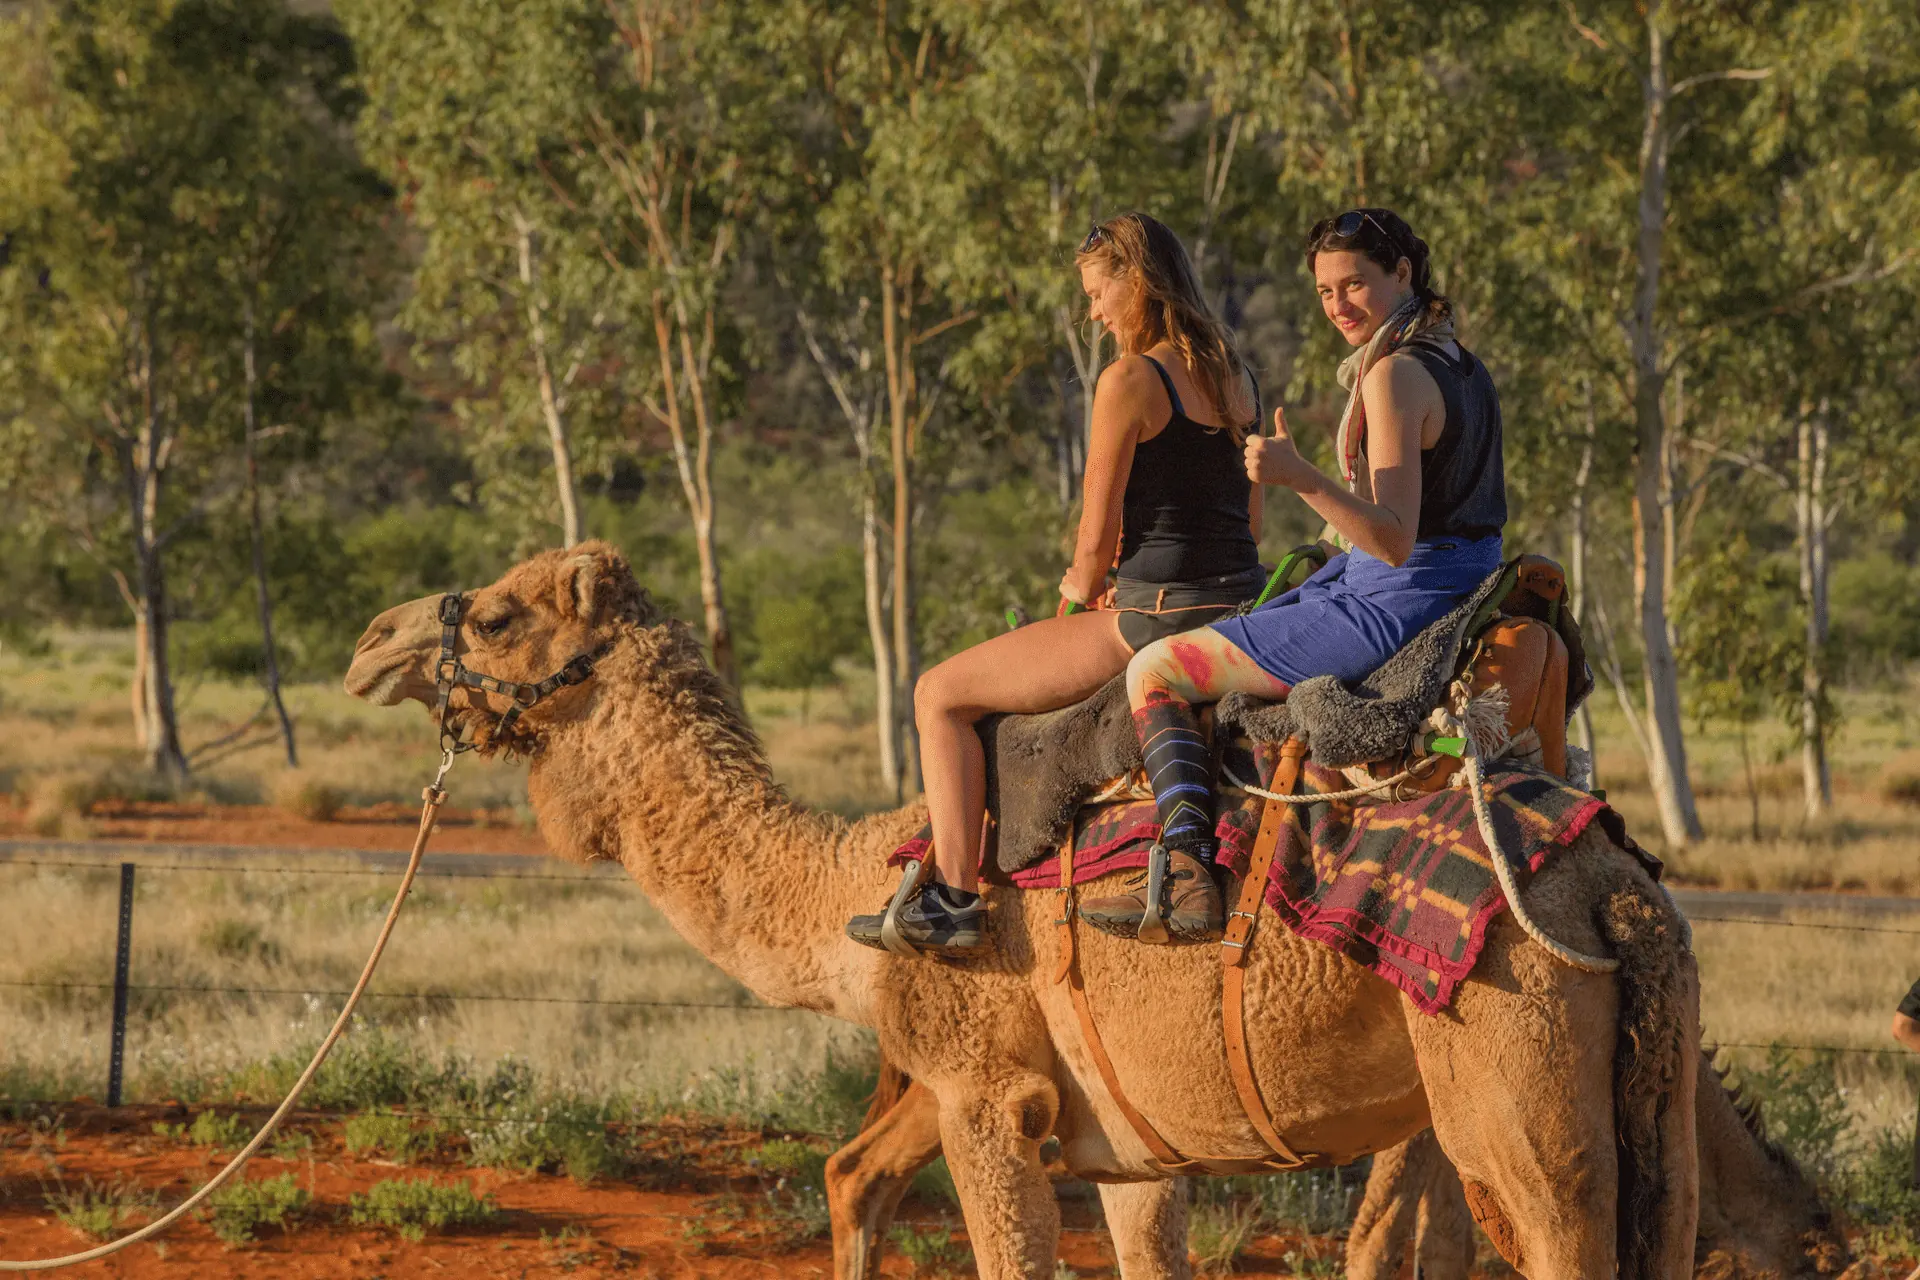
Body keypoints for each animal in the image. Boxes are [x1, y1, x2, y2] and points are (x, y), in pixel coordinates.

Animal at [344, 543, 1700, 1279]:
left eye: (500, 613)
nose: (371, 641)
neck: (857, 888)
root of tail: (1617, 890)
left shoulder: (982, 1088)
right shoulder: (1137, 1137)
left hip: (1515, 1061)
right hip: (1626, 1081)